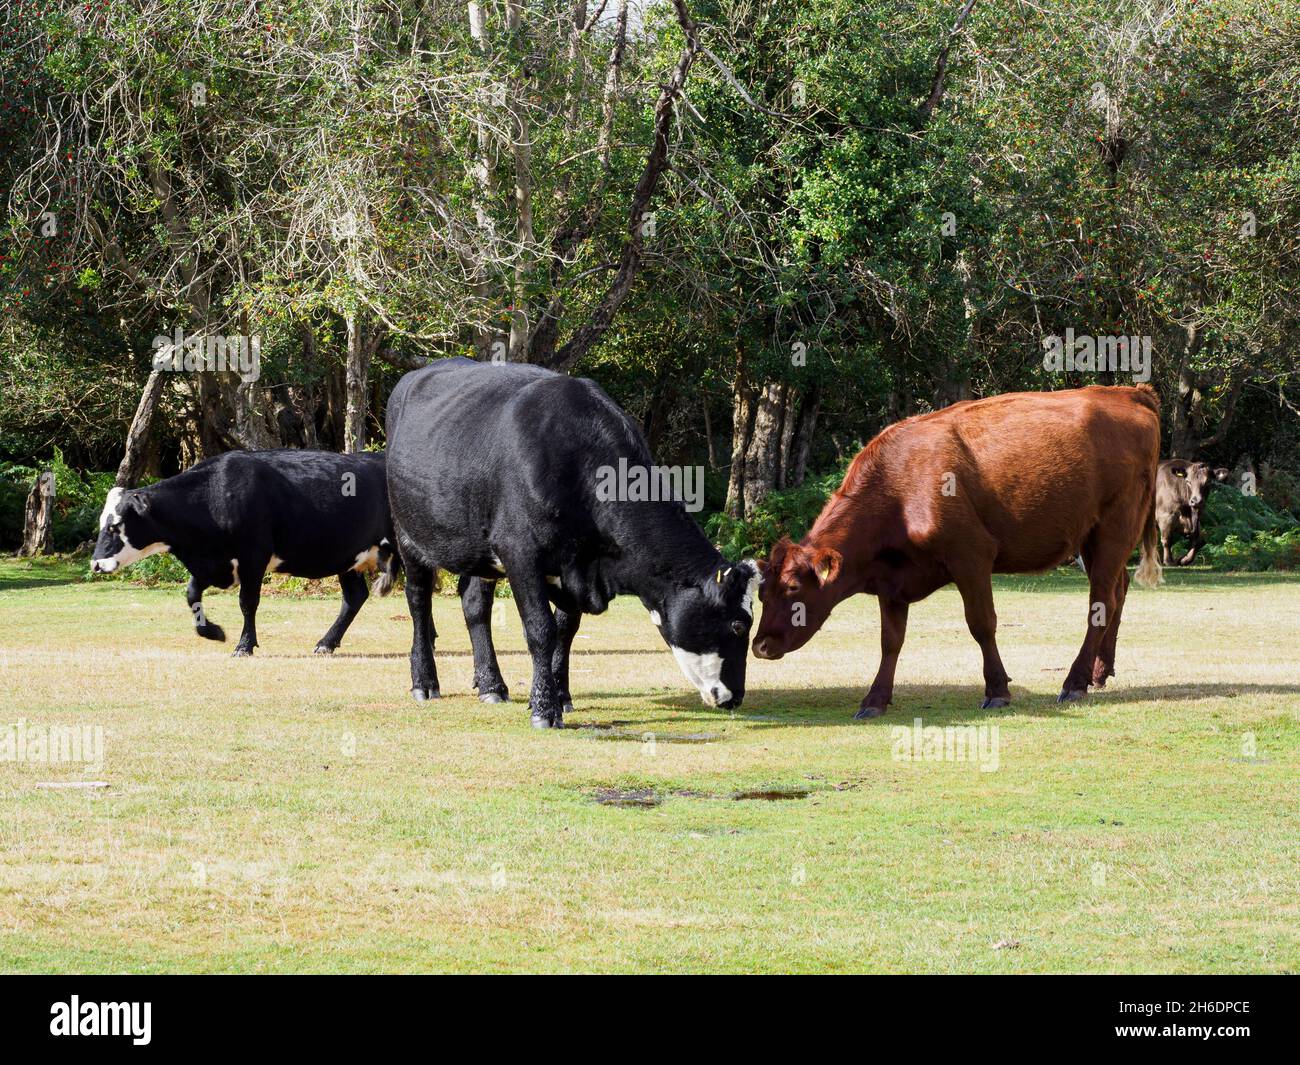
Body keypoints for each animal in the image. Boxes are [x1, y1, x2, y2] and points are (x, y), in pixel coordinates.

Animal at [91, 450, 399, 656]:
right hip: (350, 558)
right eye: (101, 523)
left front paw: (244, 645)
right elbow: (191, 595)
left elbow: (247, 603)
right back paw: (326, 643)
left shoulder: (253, 557)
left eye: (116, 526)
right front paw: (213, 632)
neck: (214, 496)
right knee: (354, 598)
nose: (96, 564)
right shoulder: (213, 563)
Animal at [384, 357, 759, 729]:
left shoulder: (576, 563)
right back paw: (424, 682)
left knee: (475, 605)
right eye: (739, 625)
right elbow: (541, 630)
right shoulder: (520, 552)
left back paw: (491, 685)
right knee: (418, 603)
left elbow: (566, 630)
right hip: (408, 534)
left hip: (480, 550)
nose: (736, 697)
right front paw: (543, 708)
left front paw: (561, 695)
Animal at [751, 385, 1163, 716]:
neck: (900, 487)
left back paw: (1075, 682)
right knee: (1117, 591)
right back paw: (1099, 672)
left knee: (1101, 603)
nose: (760, 646)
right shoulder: (891, 580)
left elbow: (981, 624)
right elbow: (890, 641)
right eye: (760, 592)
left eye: (793, 588)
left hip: (1115, 526)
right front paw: (875, 699)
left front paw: (997, 690)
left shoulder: (971, 557)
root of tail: (1127, 392)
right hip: (1090, 537)